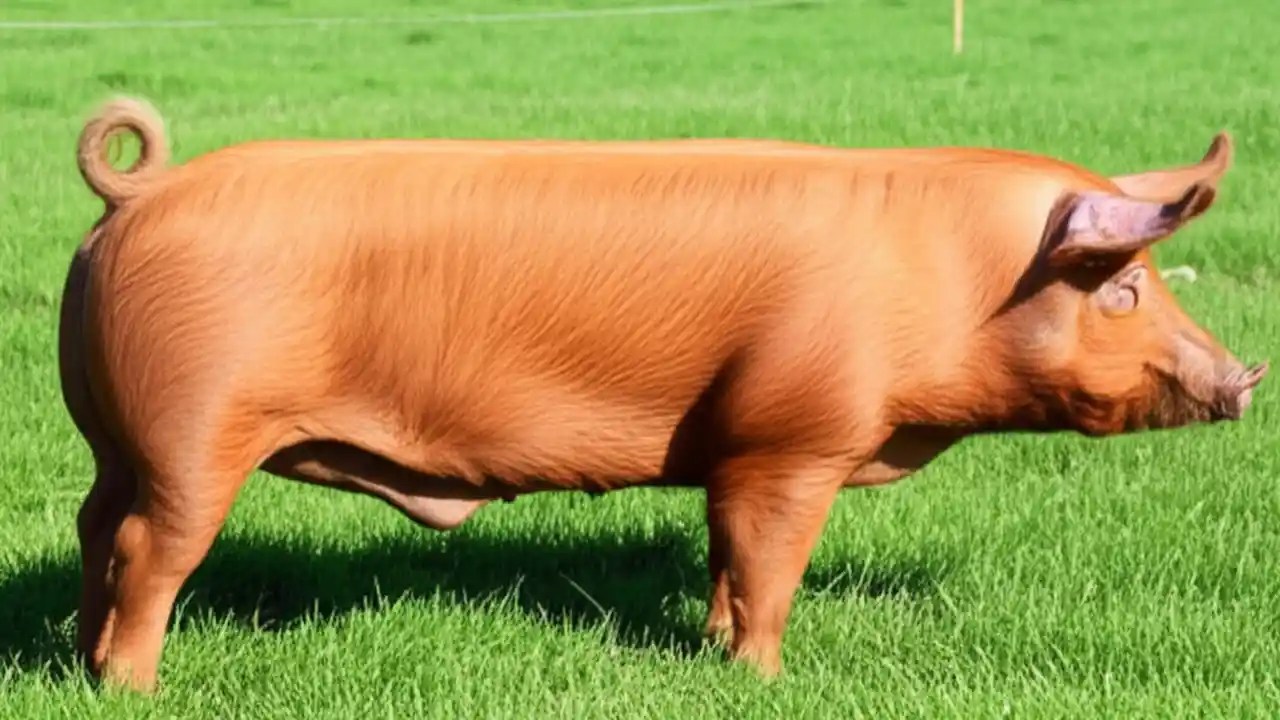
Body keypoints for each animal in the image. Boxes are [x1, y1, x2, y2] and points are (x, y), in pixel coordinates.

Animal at [60, 96, 1266, 692]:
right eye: (1122, 287)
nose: (1244, 379)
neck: (944, 280)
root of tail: (142, 191)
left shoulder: (734, 452)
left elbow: (727, 560)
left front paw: (718, 651)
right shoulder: (794, 439)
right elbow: (772, 569)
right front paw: (770, 676)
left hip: (118, 437)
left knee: (92, 528)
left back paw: (82, 662)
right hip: (195, 429)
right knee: (152, 551)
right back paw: (135, 688)